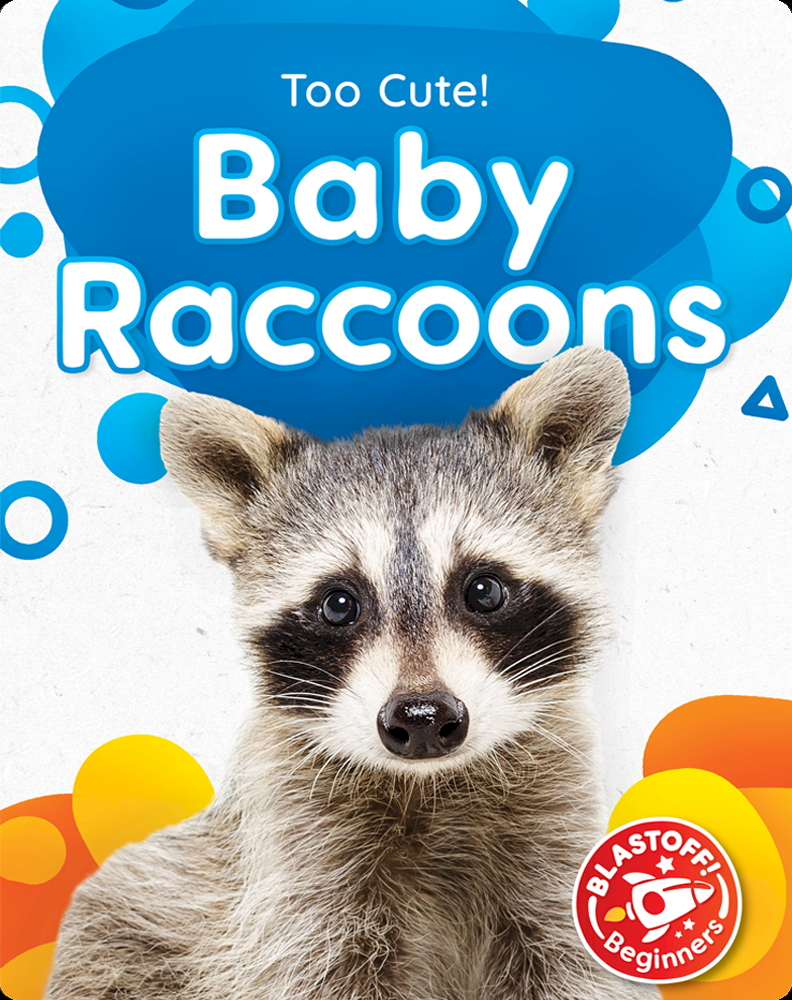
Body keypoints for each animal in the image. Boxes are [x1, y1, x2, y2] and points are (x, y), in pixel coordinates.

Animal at [45, 346, 656, 1000]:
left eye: (484, 590)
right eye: (338, 604)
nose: (422, 717)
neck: (430, 783)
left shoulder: (555, 840)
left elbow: (576, 962)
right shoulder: (298, 867)